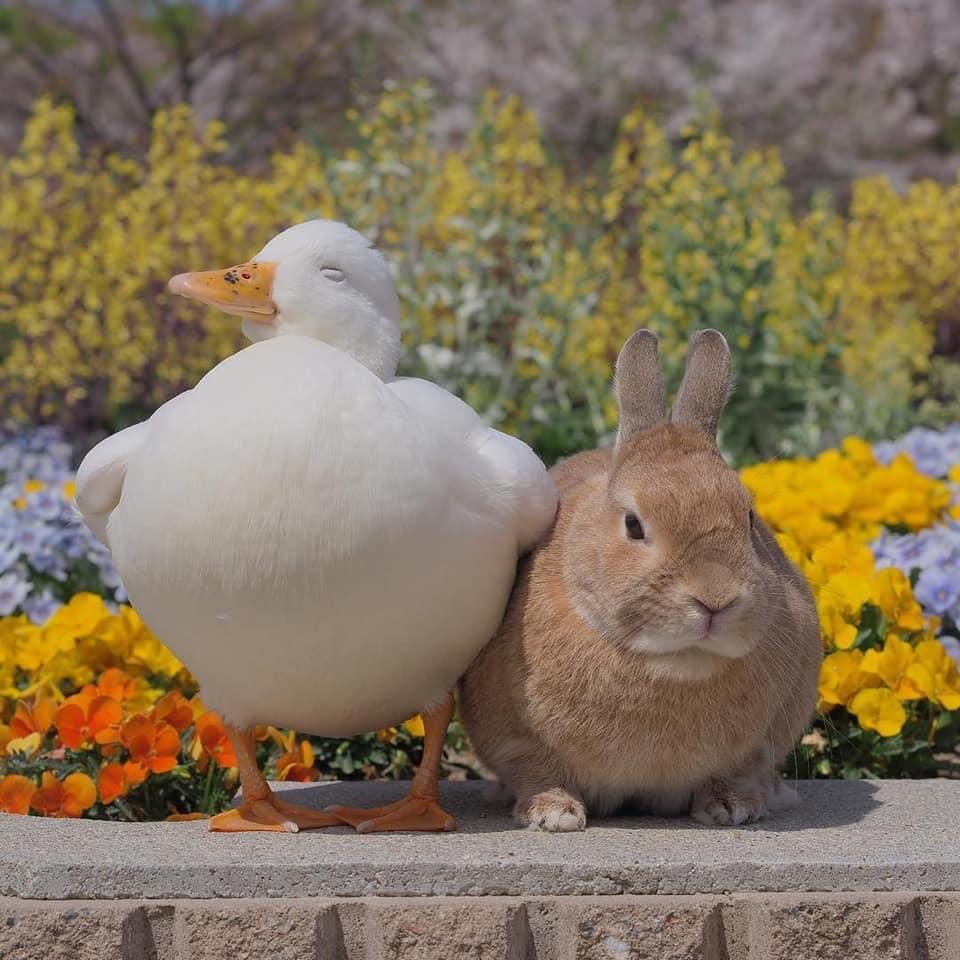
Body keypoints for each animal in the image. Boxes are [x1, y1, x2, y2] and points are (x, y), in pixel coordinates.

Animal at [459, 328, 822, 831]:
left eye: (749, 518)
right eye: (633, 524)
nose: (715, 598)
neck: (674, 664)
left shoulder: (756, 748)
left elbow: (737, 772)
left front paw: (731, 808)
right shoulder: (517, 739)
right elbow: (535, 770)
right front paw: (554, 814)